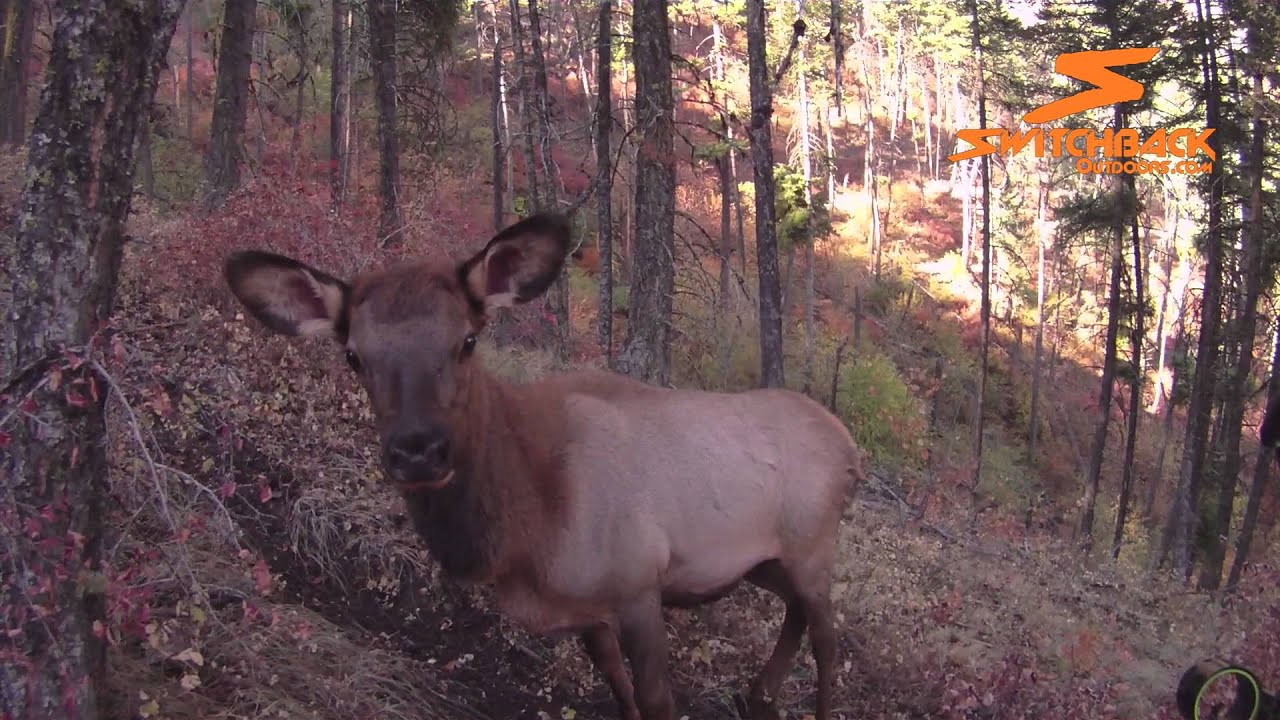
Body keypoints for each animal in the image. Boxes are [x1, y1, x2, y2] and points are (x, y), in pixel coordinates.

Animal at [222, 213, 865, 720]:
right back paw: (757, 695)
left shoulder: (639, 580)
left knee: (829, 642)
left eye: (468, 339)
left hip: (813, 543)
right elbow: (616, 685)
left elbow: (658, 699)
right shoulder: (587, 613)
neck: (528, 536)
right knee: (796, 613)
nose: (418, 450)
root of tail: (849, 444)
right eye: (354, 355)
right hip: (765, 560)